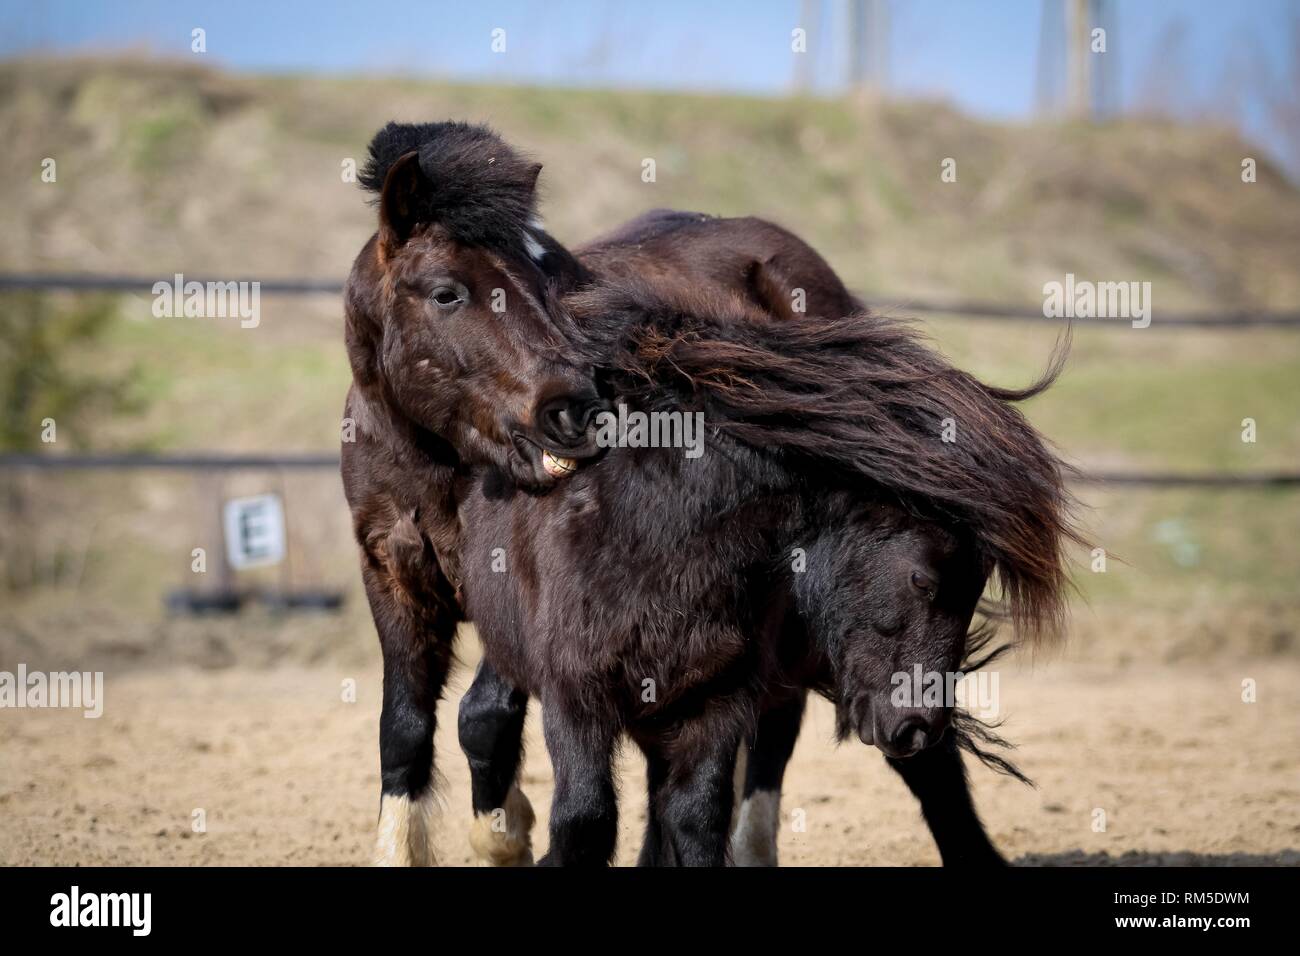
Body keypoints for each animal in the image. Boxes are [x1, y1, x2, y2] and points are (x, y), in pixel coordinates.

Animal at [454, 275, 1079, 865]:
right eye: (923, 579)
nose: (916, 725)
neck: (646, 525)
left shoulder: (712, 704)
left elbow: (698, 821)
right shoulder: (576, 698)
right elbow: (585, 825)